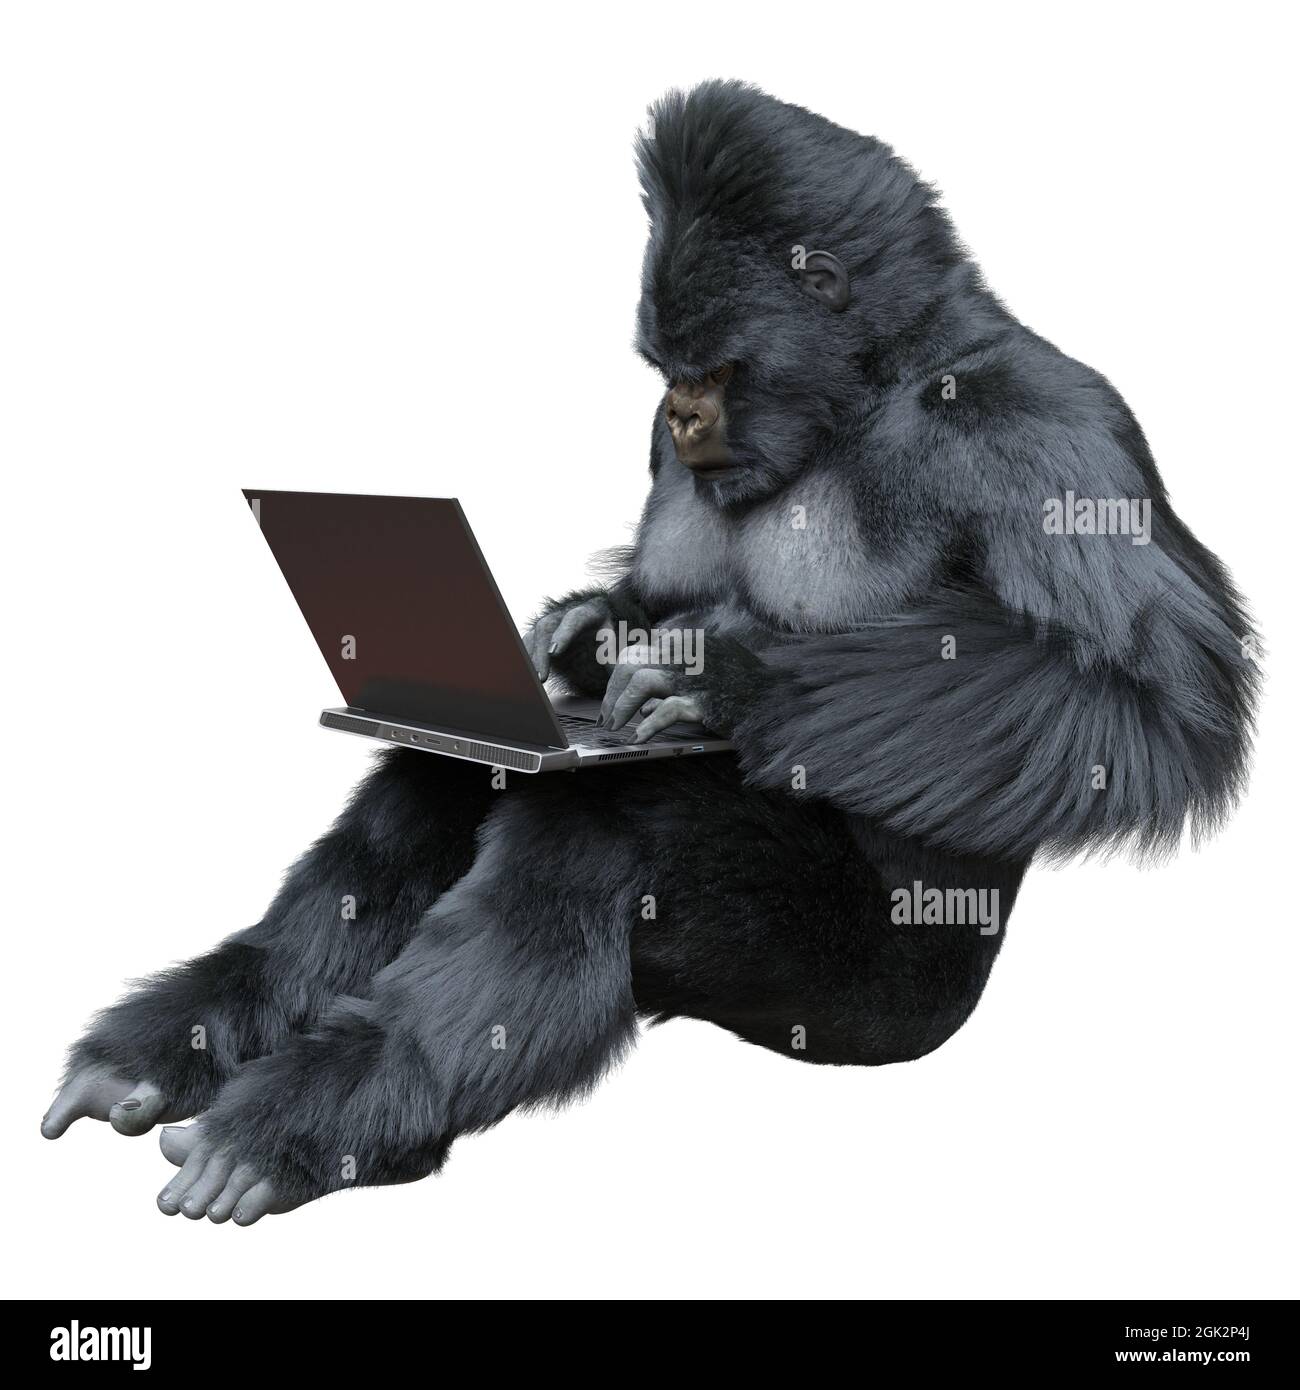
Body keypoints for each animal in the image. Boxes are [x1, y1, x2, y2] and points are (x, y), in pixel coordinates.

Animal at [42, 81, 1257, 1224]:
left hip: (879, 995)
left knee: (600, 826)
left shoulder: (1035, 423)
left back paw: (318, 1120)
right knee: (444, 773)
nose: (677, 413)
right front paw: (583, 633)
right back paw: (184, 1041)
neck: (878, 385)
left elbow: (1144, 702)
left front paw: (716, 678)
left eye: (714, 367)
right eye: (668, 368)